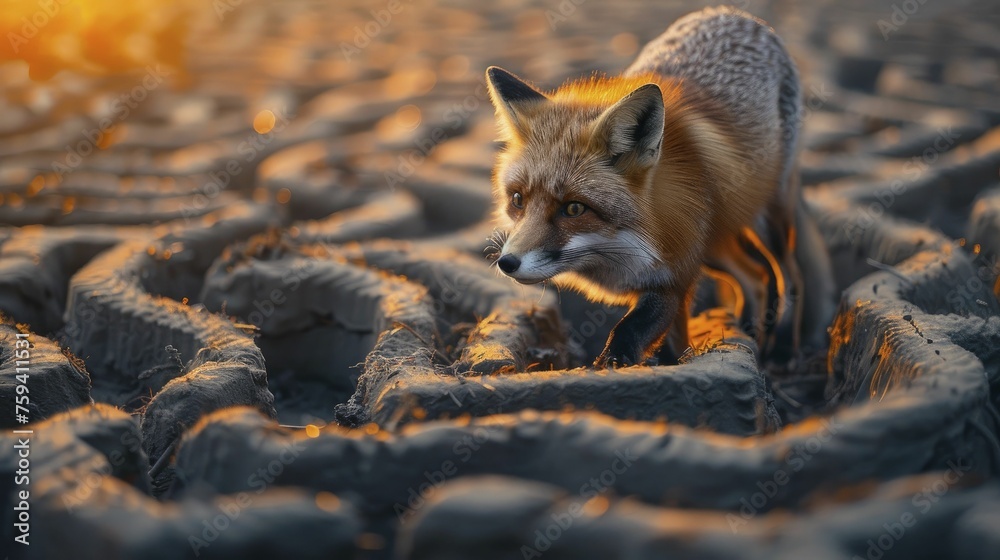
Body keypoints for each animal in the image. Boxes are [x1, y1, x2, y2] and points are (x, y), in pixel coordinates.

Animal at [486, 6, 835, 368]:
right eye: (518, 199)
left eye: (574, 208)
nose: (507, 262)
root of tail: (728, 12)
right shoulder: (675, 270)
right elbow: (670, 339)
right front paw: (674, 361)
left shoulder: (673, 278)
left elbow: (629, 329)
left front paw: (615, 364)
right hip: (713, 245)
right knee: (757, 275)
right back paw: (749, 336)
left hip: (768, 219)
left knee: (789, 275)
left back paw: (781, 349)